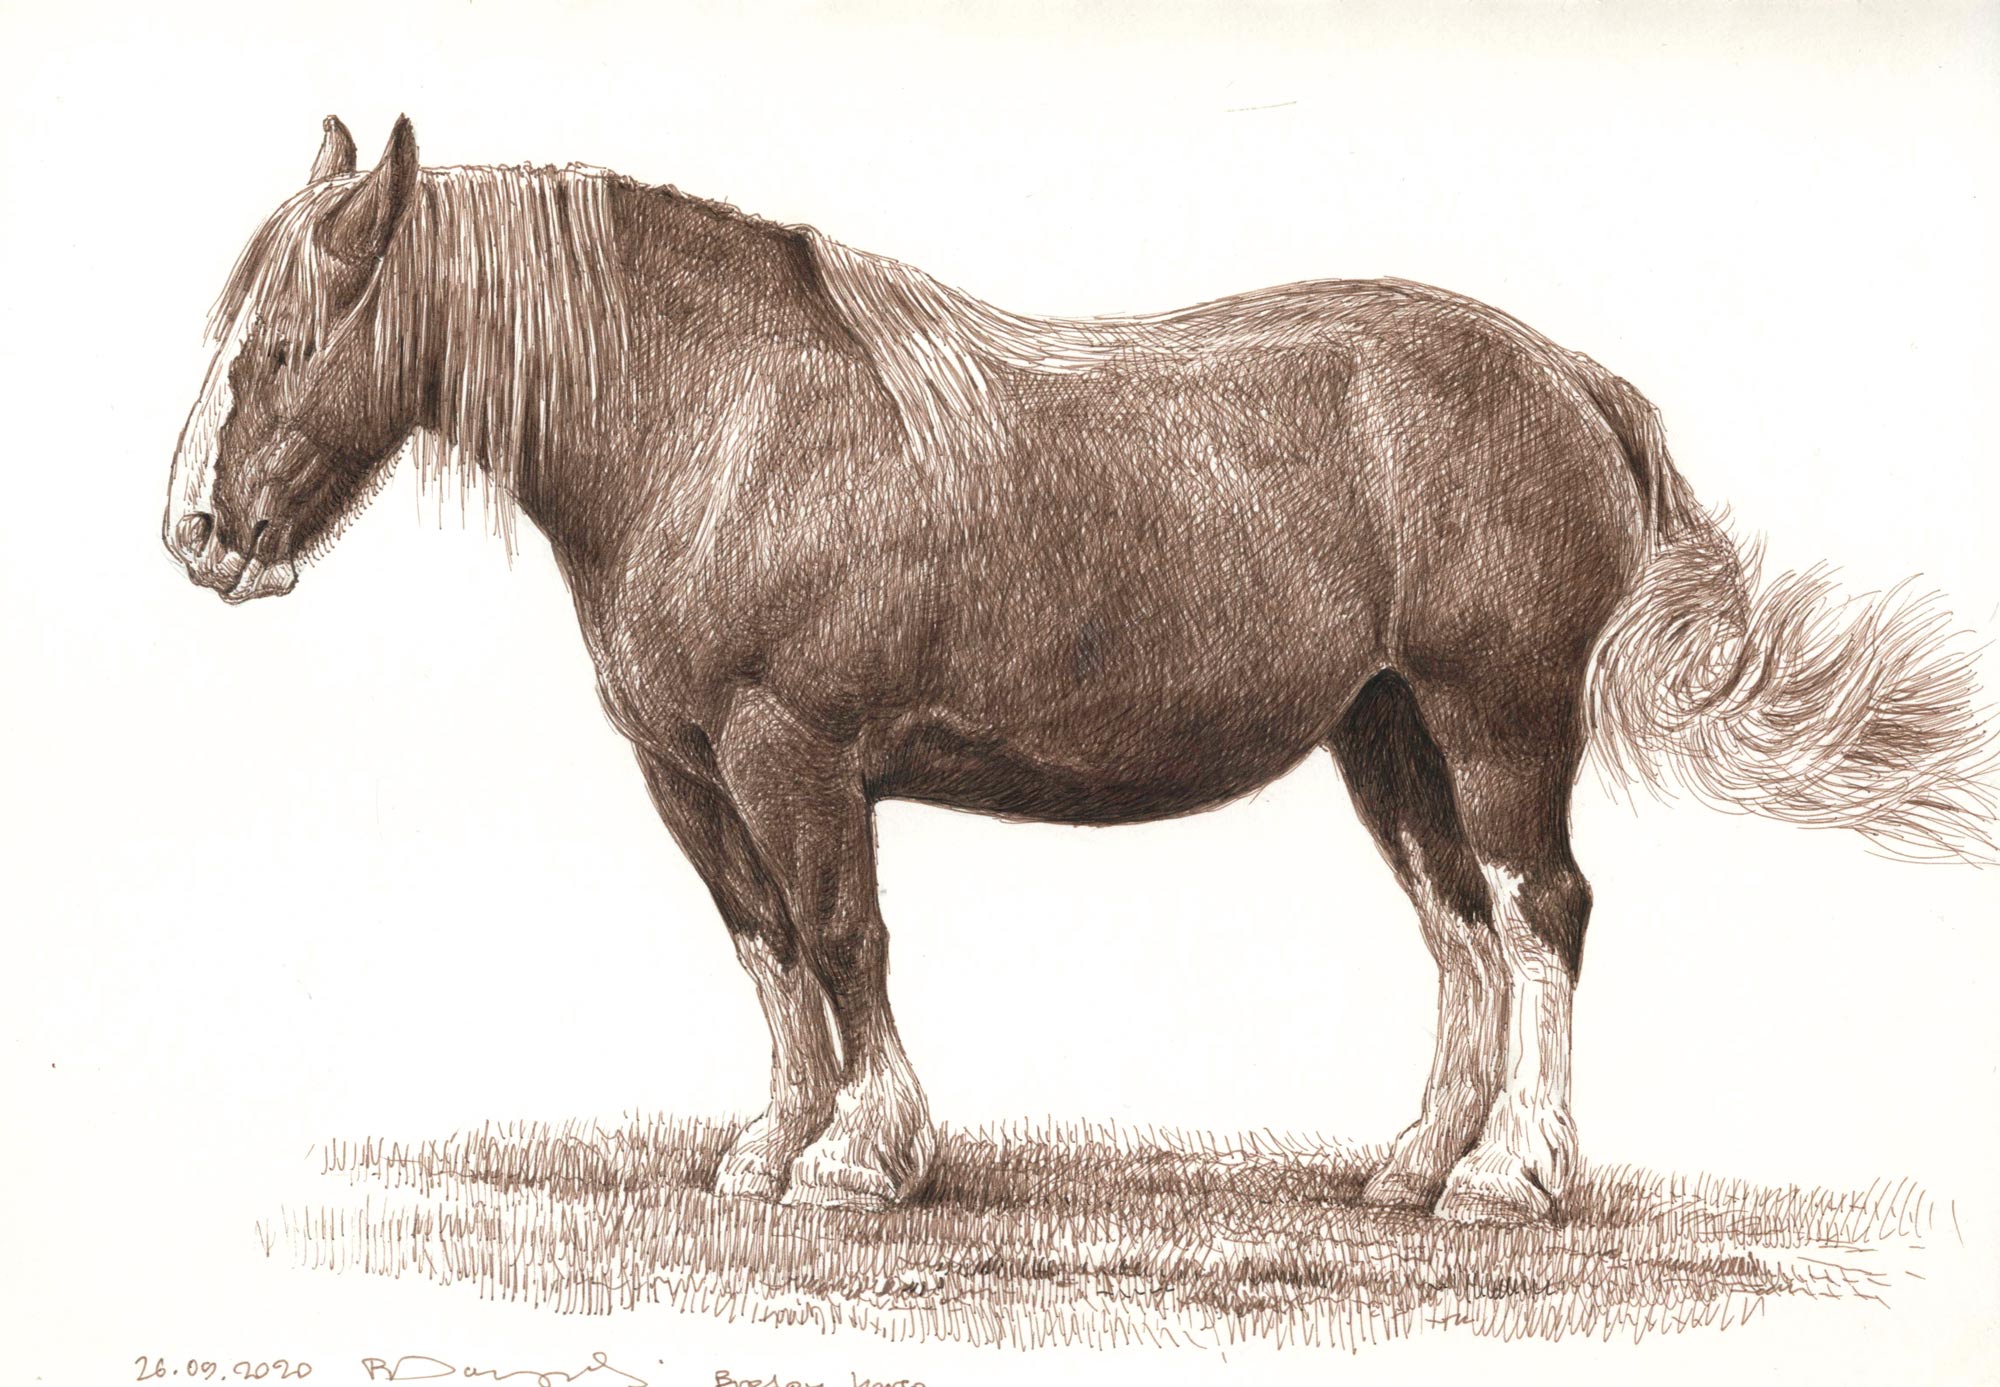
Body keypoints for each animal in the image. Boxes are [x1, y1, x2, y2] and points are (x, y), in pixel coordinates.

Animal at [164, 116, 1995, 1223]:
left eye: (283, 344)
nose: (195, 536)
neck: (716, 419)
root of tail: (1571, 377)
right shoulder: (685, 766)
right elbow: (765, 944)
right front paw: (770, 1144)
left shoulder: (789, 747)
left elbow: (841, 935)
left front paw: (864, 1155)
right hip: (1388, 733)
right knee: (1462, 930)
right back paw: (1413, 1162)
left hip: (1496, 717)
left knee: (1546, 918)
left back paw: (1515, 1175)